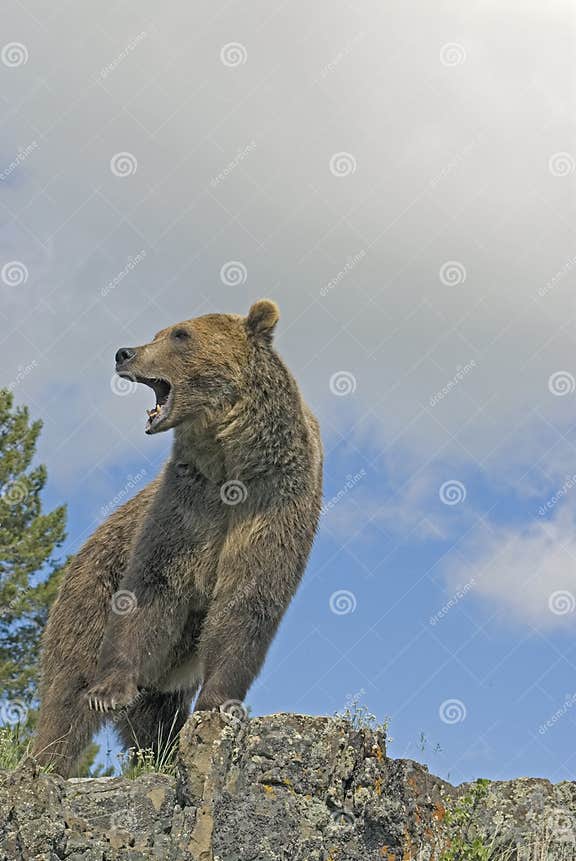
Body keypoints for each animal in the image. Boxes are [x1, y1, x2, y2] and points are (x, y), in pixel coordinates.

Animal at [33, 299, 323, 777]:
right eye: (160, 332)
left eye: (181, 335)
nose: (125, 353)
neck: (229, 461)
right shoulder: (186, 505)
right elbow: (152, 587)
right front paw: (108, 691)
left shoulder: (274, 500)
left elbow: (248, 596)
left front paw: (217, 704)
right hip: (89, 593)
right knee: (66, 696)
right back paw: (43, 765)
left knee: (153, 718)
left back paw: (163, 755)